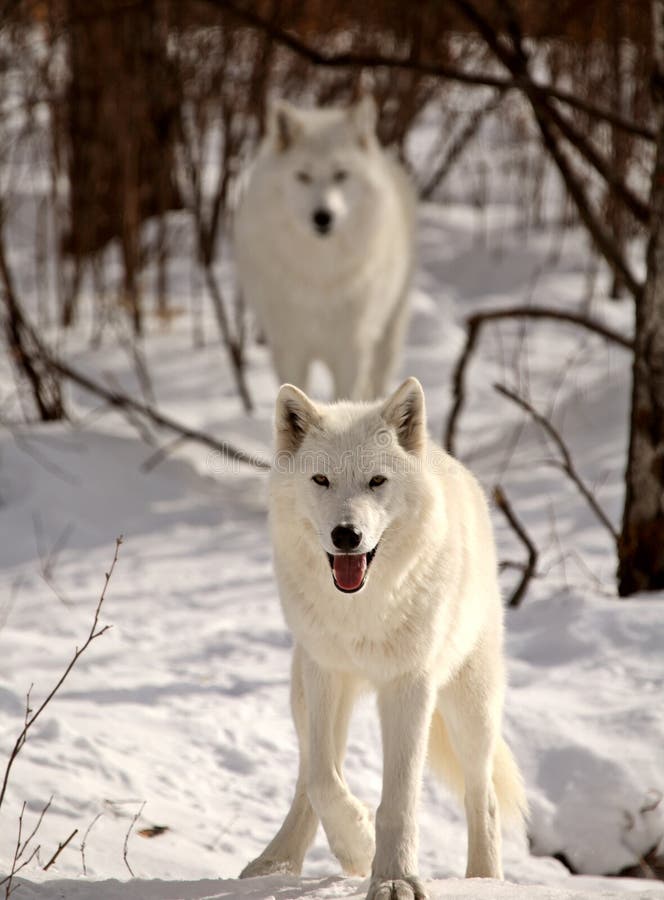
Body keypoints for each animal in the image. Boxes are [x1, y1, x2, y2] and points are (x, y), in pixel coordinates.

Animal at [233, 96, 416, 401]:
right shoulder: (289, 348)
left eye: (341, 174)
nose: (322, 216)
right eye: (303, 176)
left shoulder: (351, 351)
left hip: (388, 335)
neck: (319, 274)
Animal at [240, 377, 527, 899]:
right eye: (321, 481)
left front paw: (394, 878)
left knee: (484, 797)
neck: (362, 608)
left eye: (376, 482)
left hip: (470, 708)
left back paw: (484, 879)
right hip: (302, 690)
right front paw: (358, 845)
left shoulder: (409, 686)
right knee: (308, 777)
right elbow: (324, 780)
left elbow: (399, 799)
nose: (346, 535)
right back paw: (276, 863)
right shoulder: (325, 673)